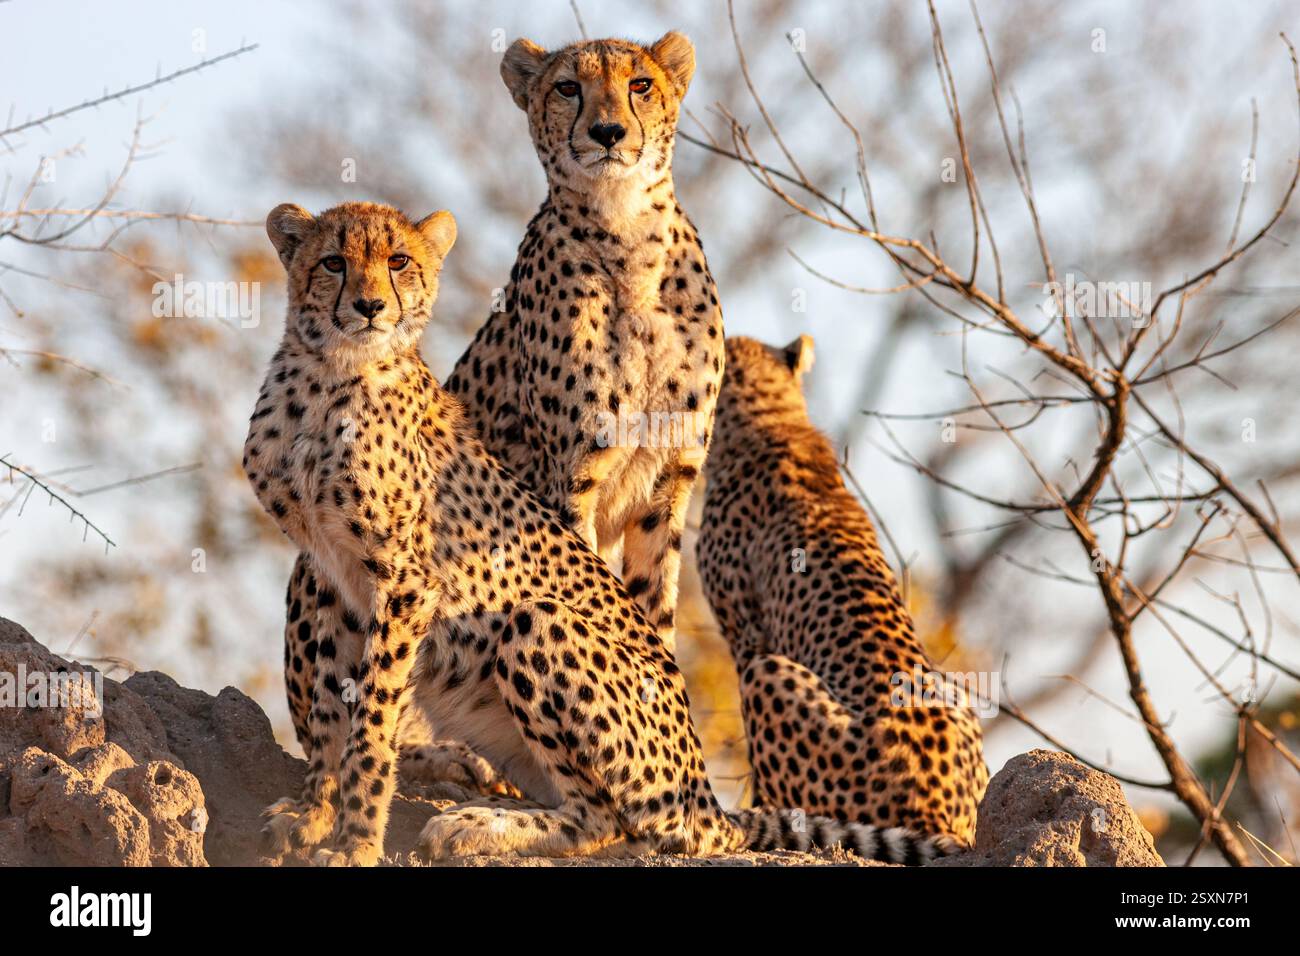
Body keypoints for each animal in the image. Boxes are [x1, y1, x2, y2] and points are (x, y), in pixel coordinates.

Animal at [245, 201, 958, 865]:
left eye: (398, 262)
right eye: (333, 262)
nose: (369, 308)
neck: (328, 377)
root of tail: (706, 794)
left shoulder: (405, 580)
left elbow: (372, 718)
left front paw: (357, 842)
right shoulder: (332, 568)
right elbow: (332, 706)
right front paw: (315, 814)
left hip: (537, 622)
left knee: (608, 821)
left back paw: (478, 826)